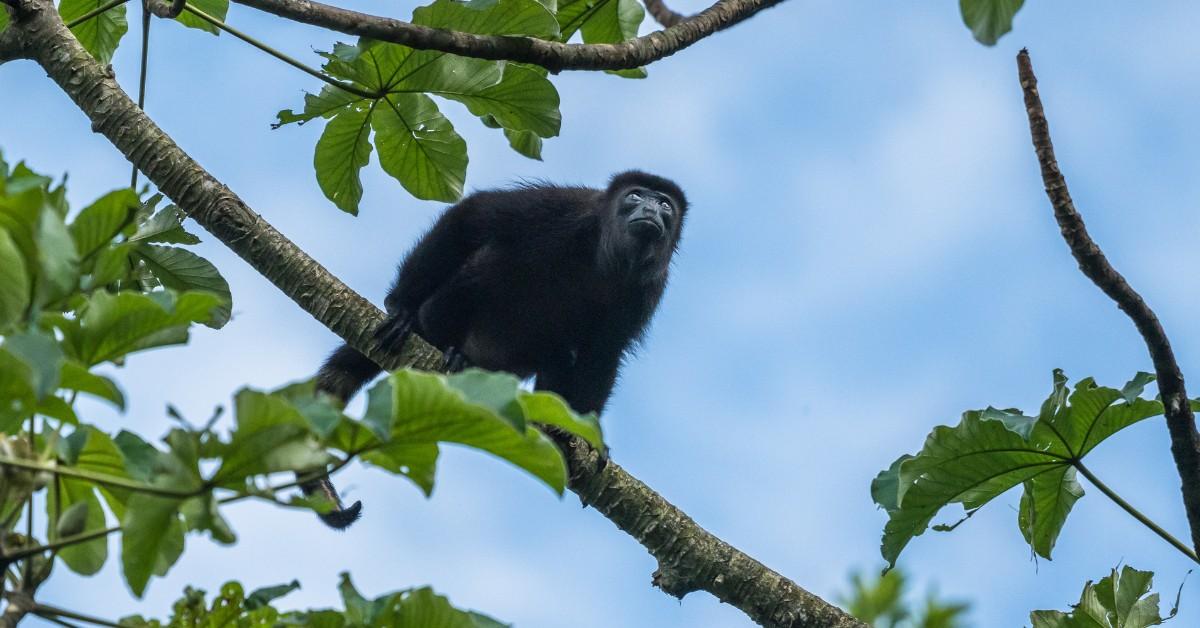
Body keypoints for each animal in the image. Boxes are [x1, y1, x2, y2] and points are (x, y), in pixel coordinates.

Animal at [302, 171, 688, 529]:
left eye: (665, 204)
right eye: (635, 195)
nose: (651, 208)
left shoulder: (649, 289)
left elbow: (604, 352)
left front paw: (582, 434)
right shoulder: (568, 209)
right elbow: (475, 214)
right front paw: (401, 306)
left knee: (562, 353)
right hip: (439, 316)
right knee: (486, 261)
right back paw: (448, 347)